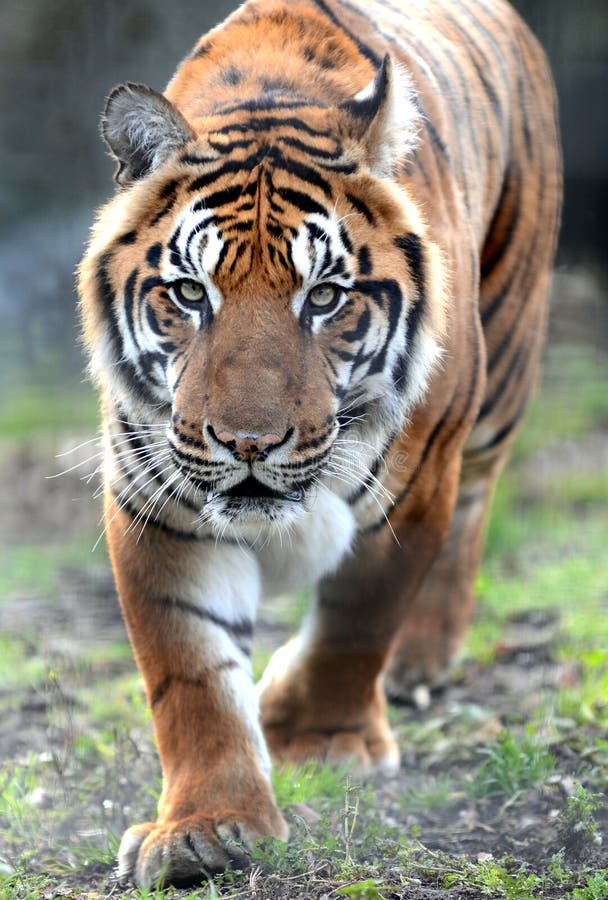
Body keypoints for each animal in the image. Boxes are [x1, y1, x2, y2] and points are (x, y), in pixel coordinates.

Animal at [78, 0, 561, 887]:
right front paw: (203, 828)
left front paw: (321, 739)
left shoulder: (416, 482)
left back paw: (418, 659)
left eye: (325, 297)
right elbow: (190, 675)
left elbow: (358, 620)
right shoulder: (156, 500)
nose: (248, 442)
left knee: (476, 501)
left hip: (503, 365)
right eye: (190, 293)